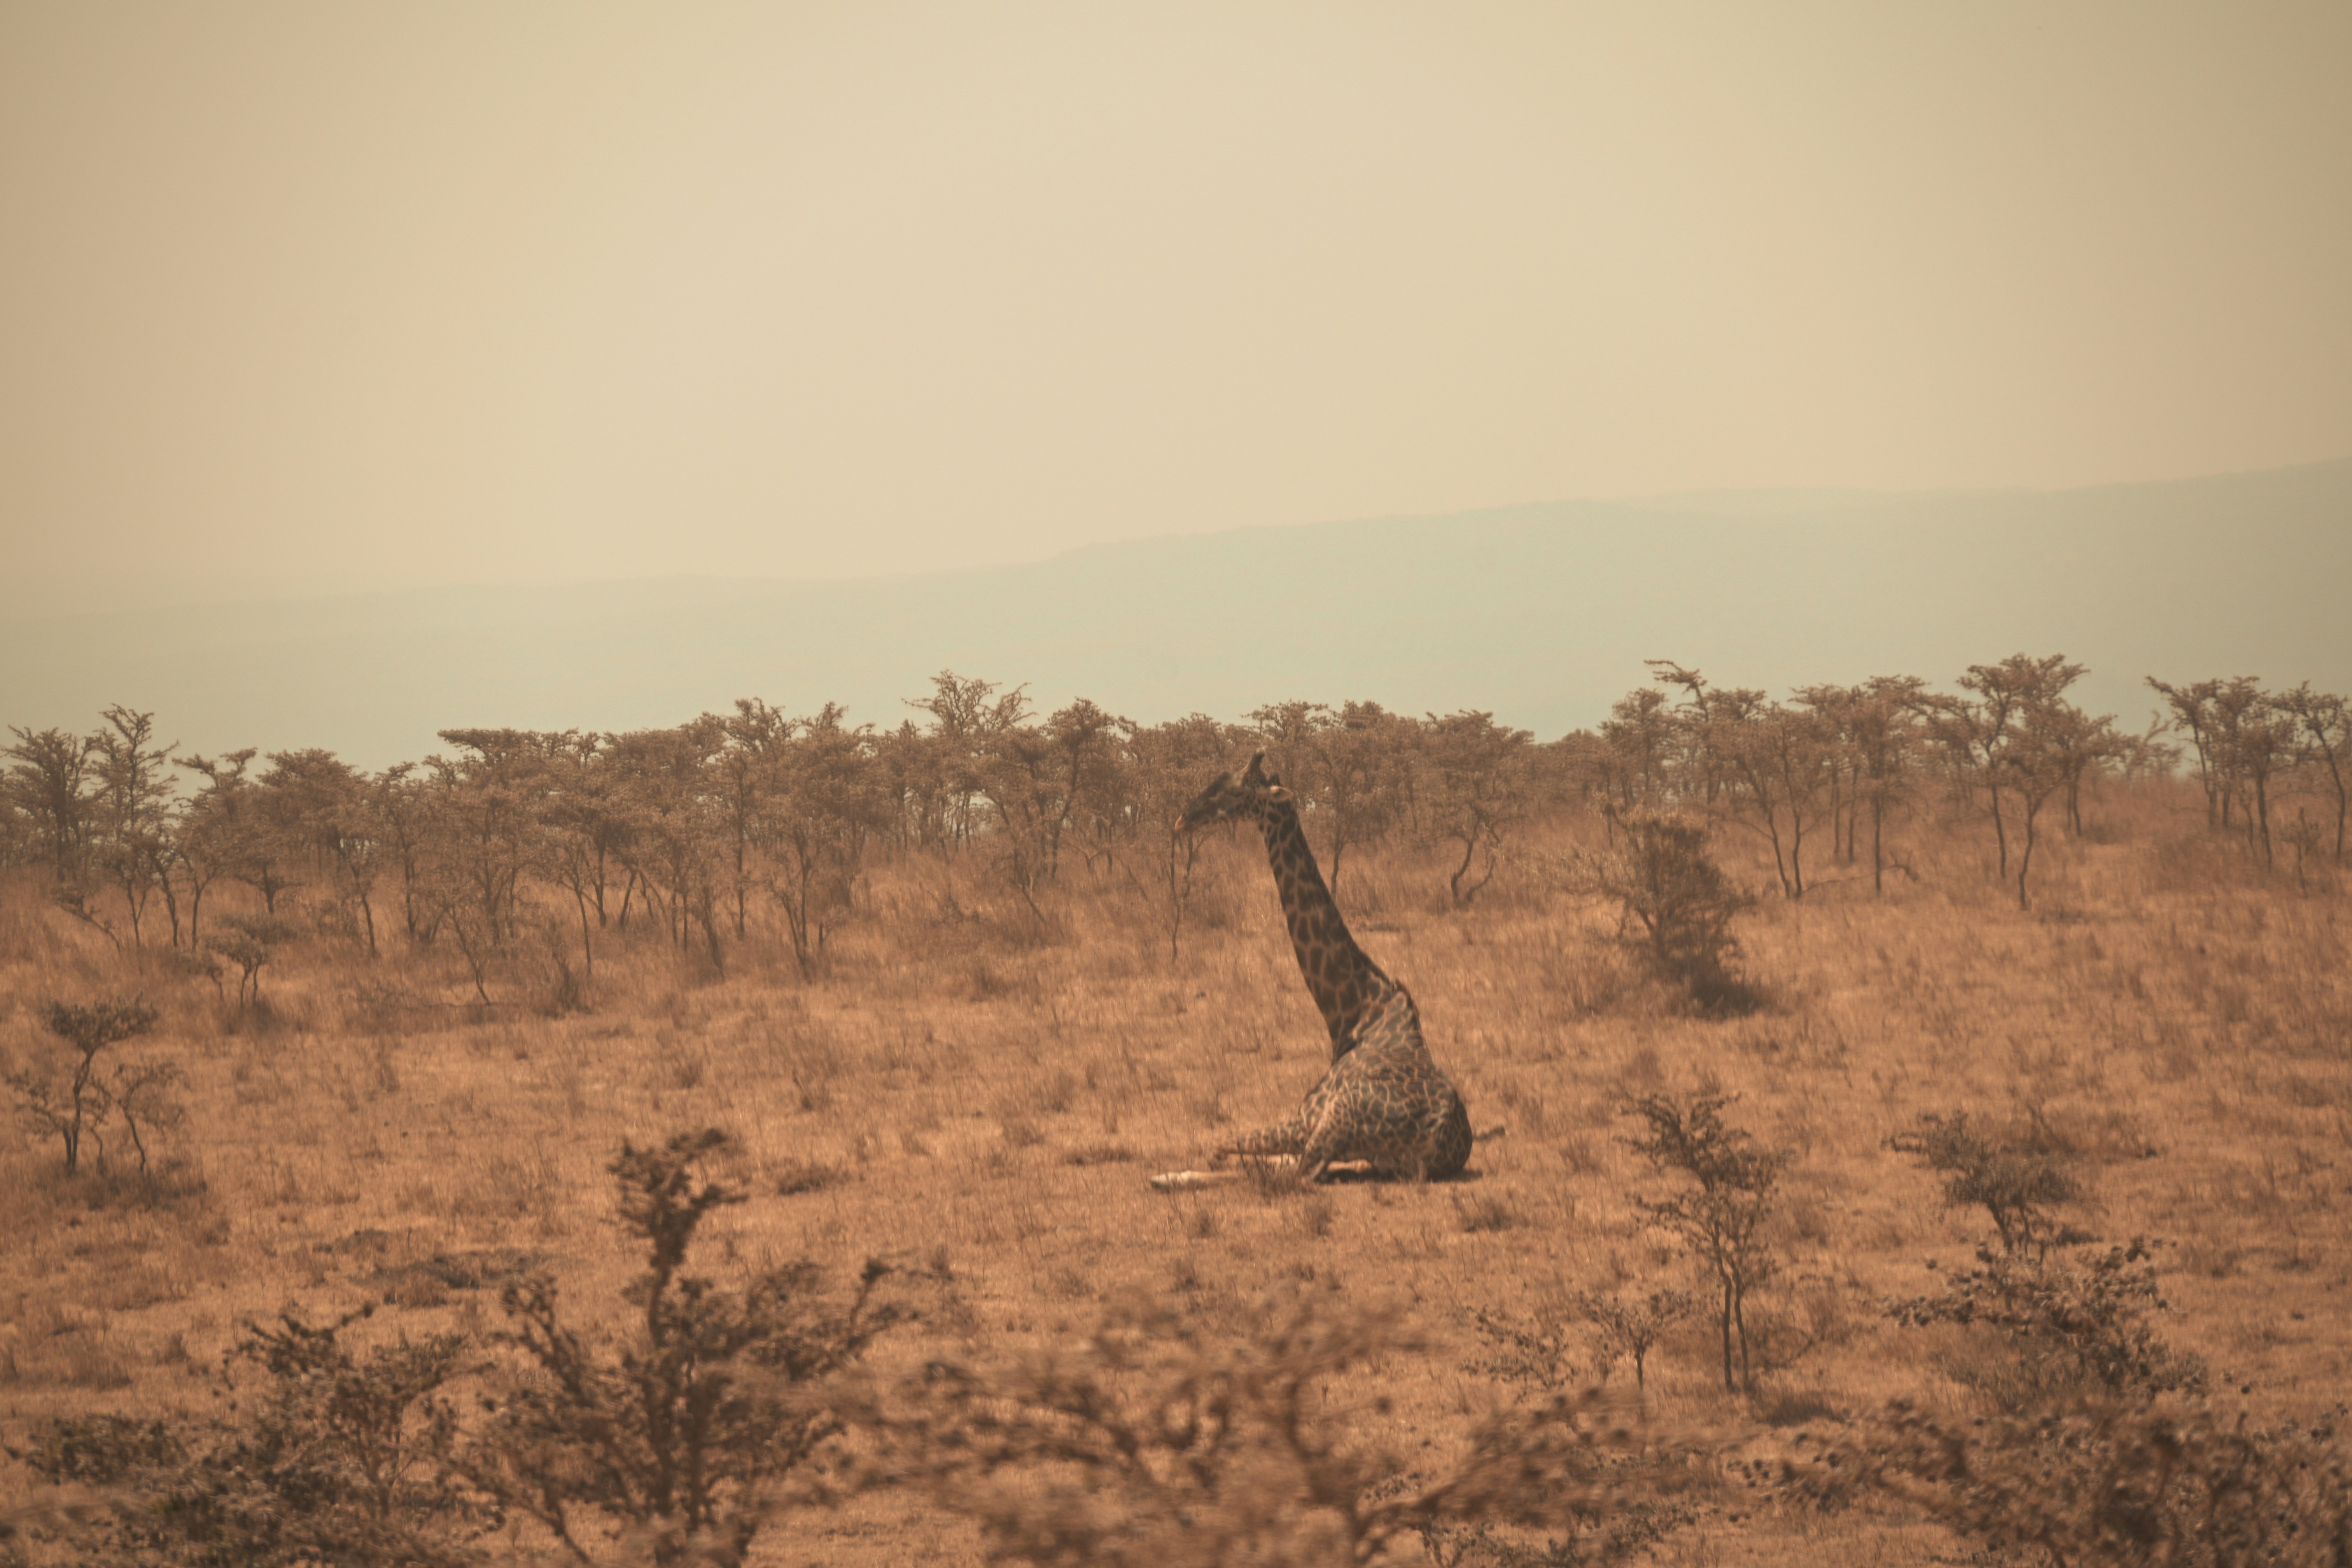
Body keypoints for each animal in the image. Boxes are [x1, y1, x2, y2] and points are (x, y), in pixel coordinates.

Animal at [1150, 751, 1472, 1189]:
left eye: (1235, 791)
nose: (1184, 819)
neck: (1355, 1013)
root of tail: (1438, 1142)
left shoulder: (1307, 1119)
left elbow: (1225, 1147)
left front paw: (1174, 1173)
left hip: (1335, 1120)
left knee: (1292, 1175)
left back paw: (1169, 1177)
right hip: (1366, 1154)